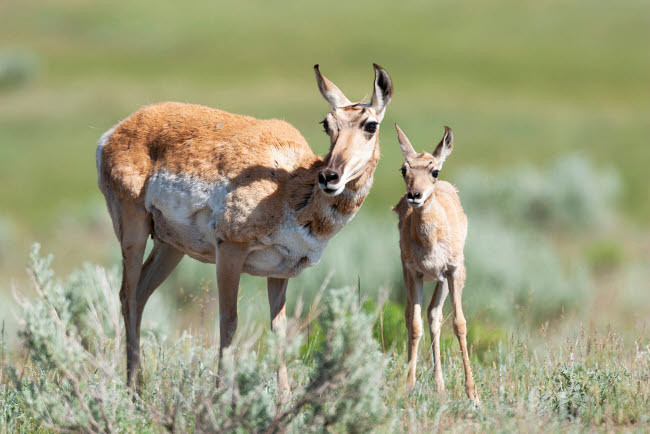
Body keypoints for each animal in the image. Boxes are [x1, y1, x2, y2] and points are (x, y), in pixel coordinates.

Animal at [96, 64, 393, 393]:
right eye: (327, 124)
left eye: (371, 125)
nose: (329, 176)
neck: (289, 186)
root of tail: (116, 131)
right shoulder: (229, 251)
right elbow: (229, 321)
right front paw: (221, 394)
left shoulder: (279, 271)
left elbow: (279, 330)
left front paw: (284, 398)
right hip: (133, 229)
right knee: (127, 295)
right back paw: (130, 388)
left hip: (170, 246)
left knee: (141, 294)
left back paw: (138, 385)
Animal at [393, 124, 476, 401]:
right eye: (404, 169)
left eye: (434, 170)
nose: (414, 195)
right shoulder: (415, 273)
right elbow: (414, 325)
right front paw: (408, 385)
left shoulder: (452, 272)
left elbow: (459, 324)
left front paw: (473, 394)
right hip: (413, 276)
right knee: (415, 314)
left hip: (442, 281)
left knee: (434, 315)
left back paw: (439, 385)